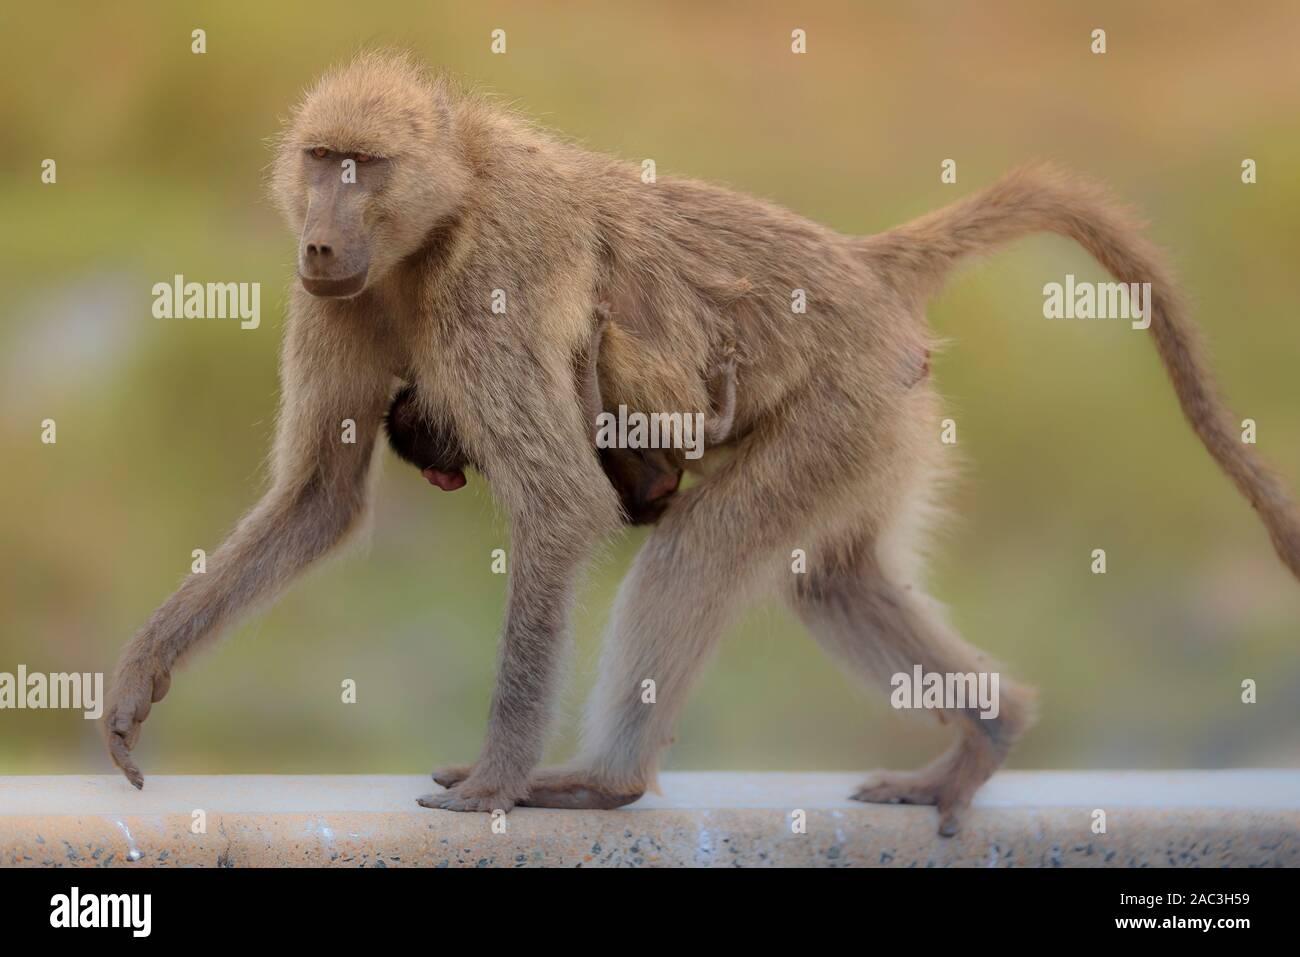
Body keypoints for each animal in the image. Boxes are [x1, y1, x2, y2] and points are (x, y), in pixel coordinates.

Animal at [104, 51, 1300, 836]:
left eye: (364, 164)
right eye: (320, 160)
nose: (317, 239)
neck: (439, 218)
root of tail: (863, 263)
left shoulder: (495, 273)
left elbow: (562, 507)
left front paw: (496, 779)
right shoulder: (341, 304)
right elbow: (319, 498)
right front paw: (140, 678)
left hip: (847, 396)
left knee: (701, 552)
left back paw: (605, 783)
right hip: (883, 418)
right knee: (831, 578)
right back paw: (985, 737)